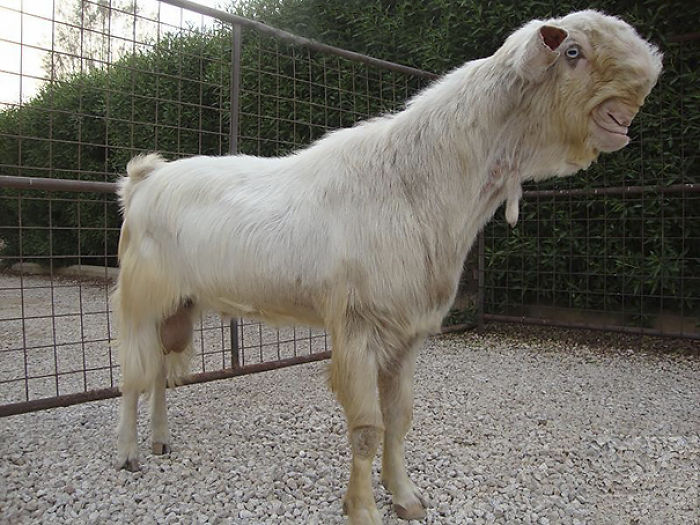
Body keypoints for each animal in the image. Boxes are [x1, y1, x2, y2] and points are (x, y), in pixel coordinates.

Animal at [113, 10, 661, 524]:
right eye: (573, 52)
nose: (626, 114)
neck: (417, 184)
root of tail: (144, 179)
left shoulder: (406, 331)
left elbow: (398, 419)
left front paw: (405, 496)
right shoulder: (356, 326)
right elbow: (366, 428)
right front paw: (362, 508)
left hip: (179, 304)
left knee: (159, 368)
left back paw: (161, 440)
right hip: (139, 298)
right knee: (134, 375)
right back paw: (130, 453)